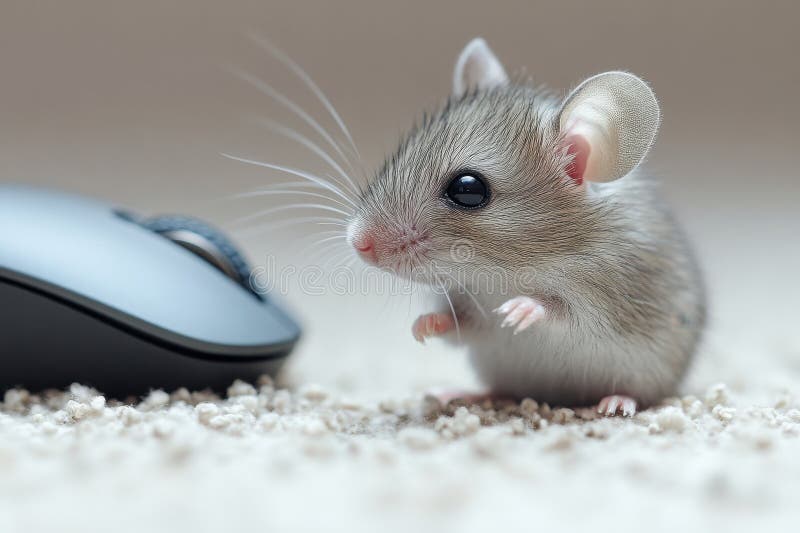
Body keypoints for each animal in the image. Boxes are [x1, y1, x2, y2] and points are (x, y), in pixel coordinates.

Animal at [345, 38, 706, 416]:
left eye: (468, 189)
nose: (357, 242)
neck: (511, 269)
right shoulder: (469, 309)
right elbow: (456, 326)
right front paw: (423, 326)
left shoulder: (600, 301)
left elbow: (559, 312)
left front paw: (518, 310)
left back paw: (615, 403)